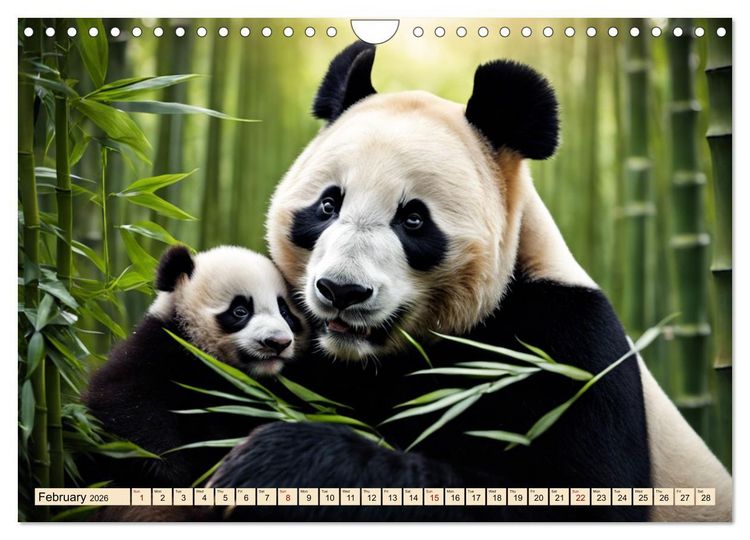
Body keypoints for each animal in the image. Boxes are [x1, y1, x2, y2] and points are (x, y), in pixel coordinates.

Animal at [83, 245, 305, 489]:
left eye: (285, 312)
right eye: (240, 311)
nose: (278, 342)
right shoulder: (156, 350)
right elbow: (127, 404)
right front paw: (168, 470)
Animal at [208, 42, 732, 522]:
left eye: (413, 219)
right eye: (328, 204)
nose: (342, 291)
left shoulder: (570, 347)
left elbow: (577, 495)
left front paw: (275, 464)